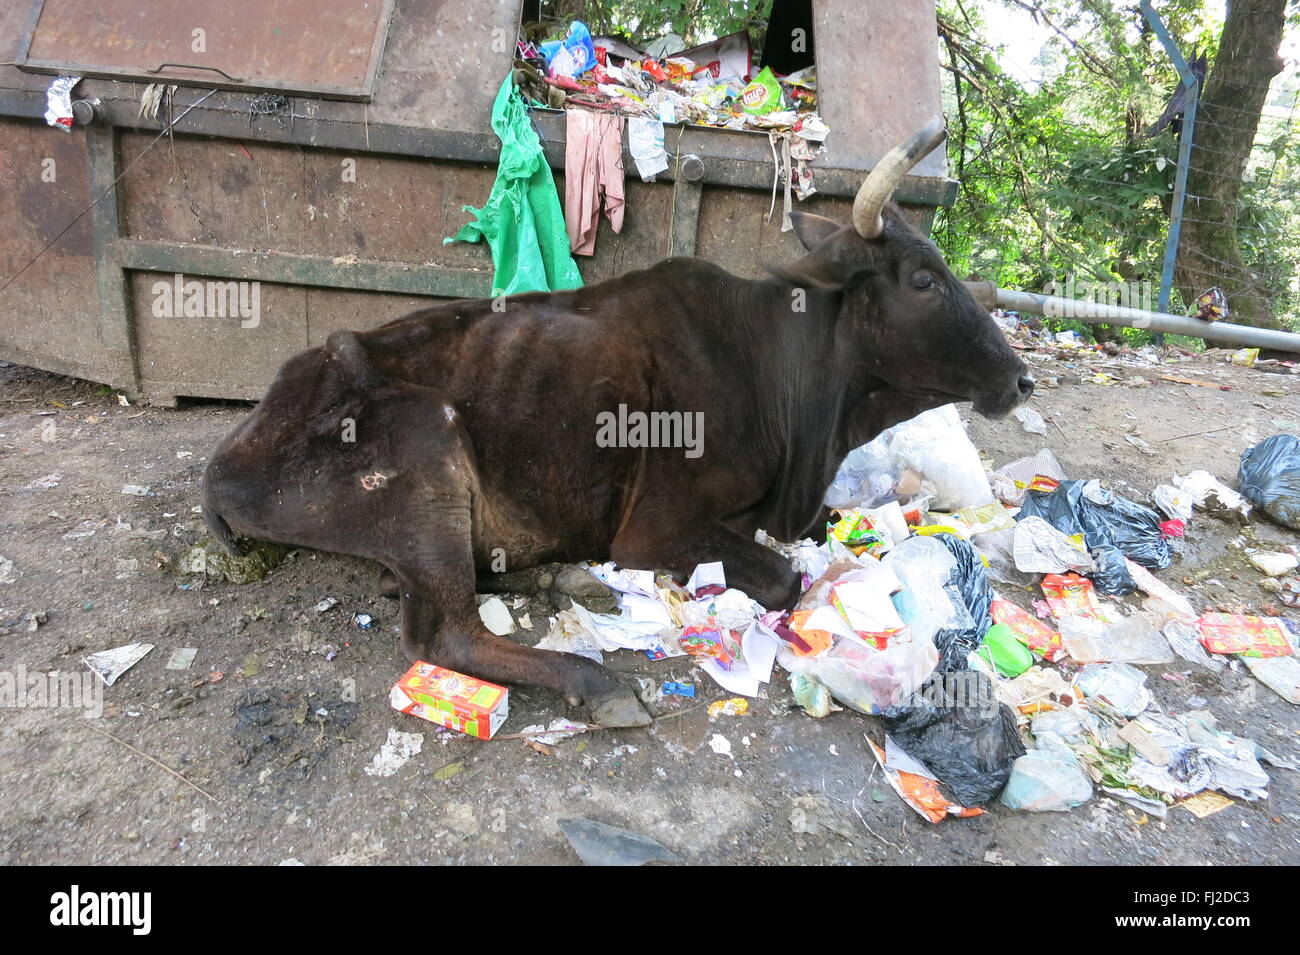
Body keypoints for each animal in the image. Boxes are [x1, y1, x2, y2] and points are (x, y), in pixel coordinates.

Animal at [202, 118, 1032, 729]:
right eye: (923, 279)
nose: (1020, 378)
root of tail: (232, 449)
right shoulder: (656, 526)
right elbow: (783, 576)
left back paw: (560, 575)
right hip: (424, 437)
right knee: (444, 629)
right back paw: (593, 681)